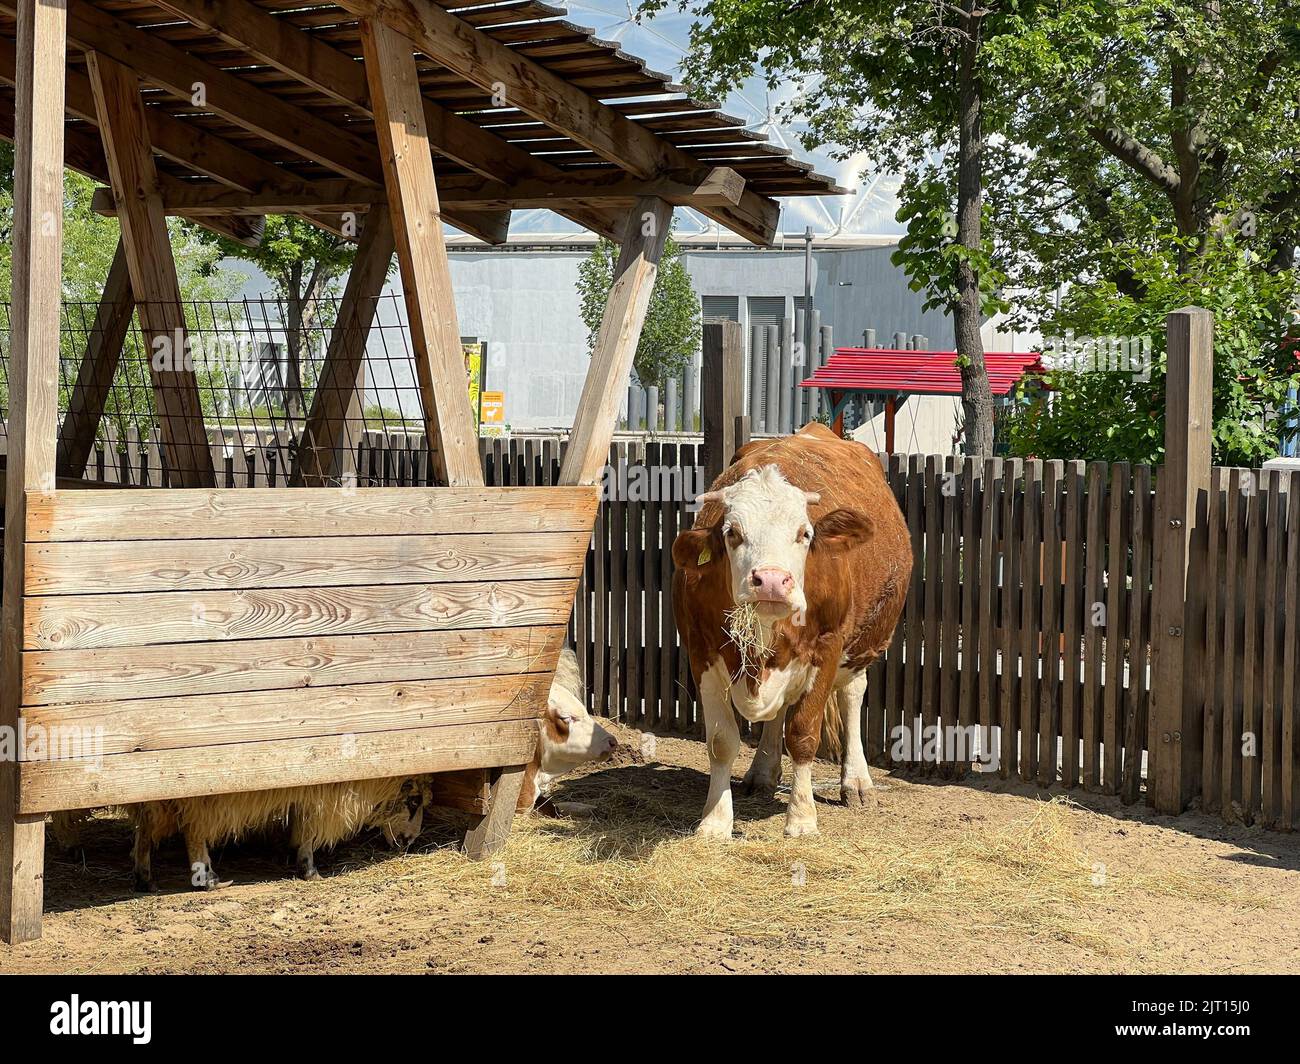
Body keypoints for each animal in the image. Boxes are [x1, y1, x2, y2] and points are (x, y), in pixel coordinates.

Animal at [671, 423, 911, 838]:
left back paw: (857, 781)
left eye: (804, 533)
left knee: (851, 696)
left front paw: (801, 818)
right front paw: (715, 821)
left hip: (860, 646)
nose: (770, 581)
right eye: (732, 533)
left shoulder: (826, 649)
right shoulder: (700, 650)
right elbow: (721, 740)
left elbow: (803, 735)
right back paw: (762, 773)